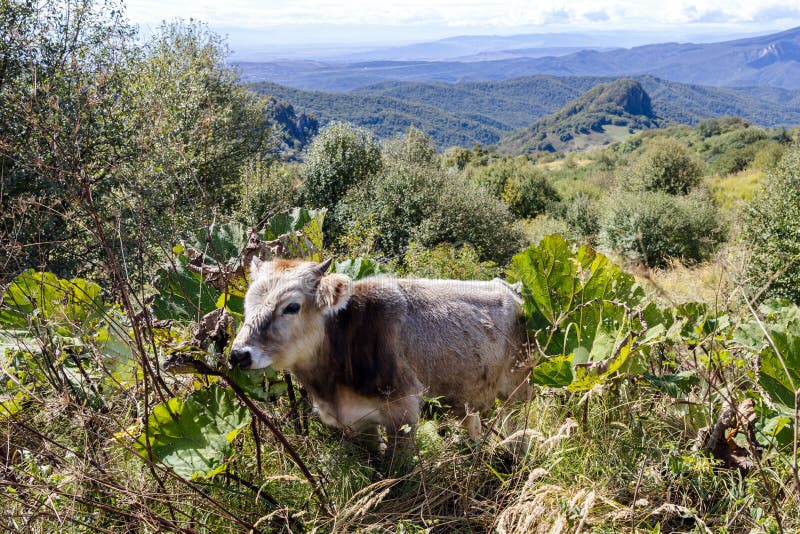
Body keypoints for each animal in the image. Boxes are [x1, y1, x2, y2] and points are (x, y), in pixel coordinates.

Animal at [228, 257, 531, 443]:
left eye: (292, 306)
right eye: (247, 303)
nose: (239, 354)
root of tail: (508, 287)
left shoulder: (403, 413)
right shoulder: (357, 424)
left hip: (519, 390)